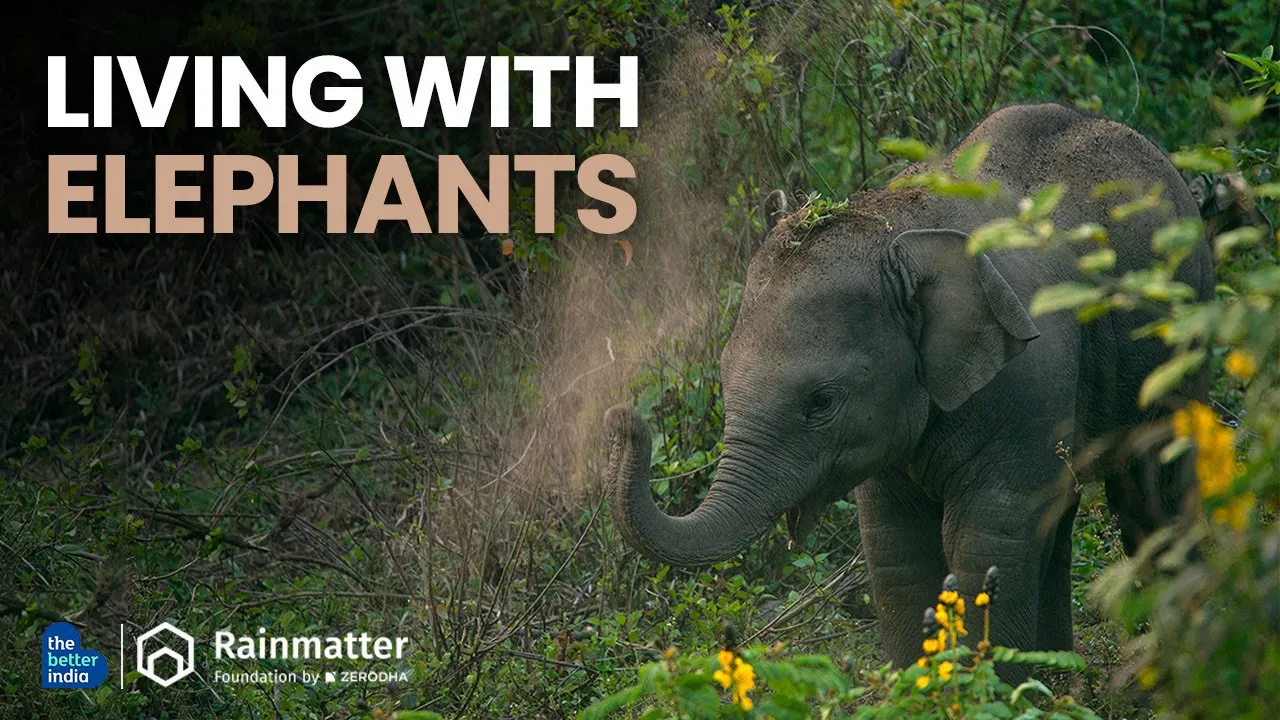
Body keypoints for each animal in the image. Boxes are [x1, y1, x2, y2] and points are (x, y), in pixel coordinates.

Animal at [603, 103, 1213, 669]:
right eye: (724, 375)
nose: (620, 417)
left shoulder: (1031, 385)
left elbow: (990, 542)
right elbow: (898, 552)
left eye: (821, 402)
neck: (897, 230)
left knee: (1151, 498)